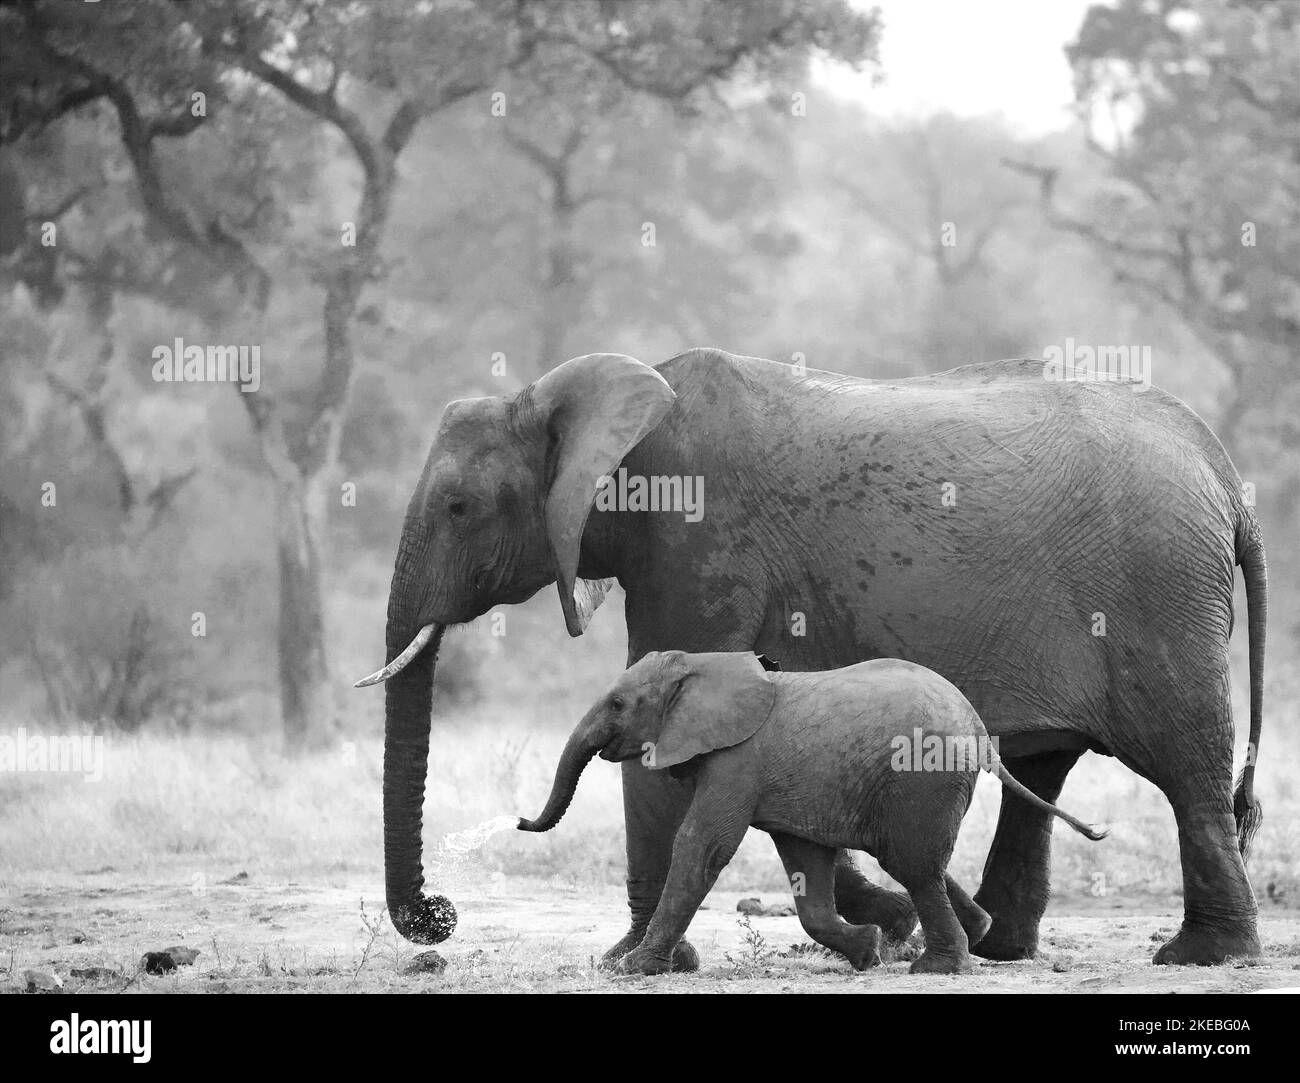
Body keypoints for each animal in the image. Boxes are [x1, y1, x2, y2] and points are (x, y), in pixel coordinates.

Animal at [517, 651, 1106, 975]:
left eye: (618, 704)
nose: (521, 822)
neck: (703, 664)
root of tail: (980, 730)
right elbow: (806, 865)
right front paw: (867, 951)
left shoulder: (737, 761)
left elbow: (704, 847)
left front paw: (634, 971)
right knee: (917, 863)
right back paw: (964, 937)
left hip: (923, 778)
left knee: (915, 866)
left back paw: (937, 966)